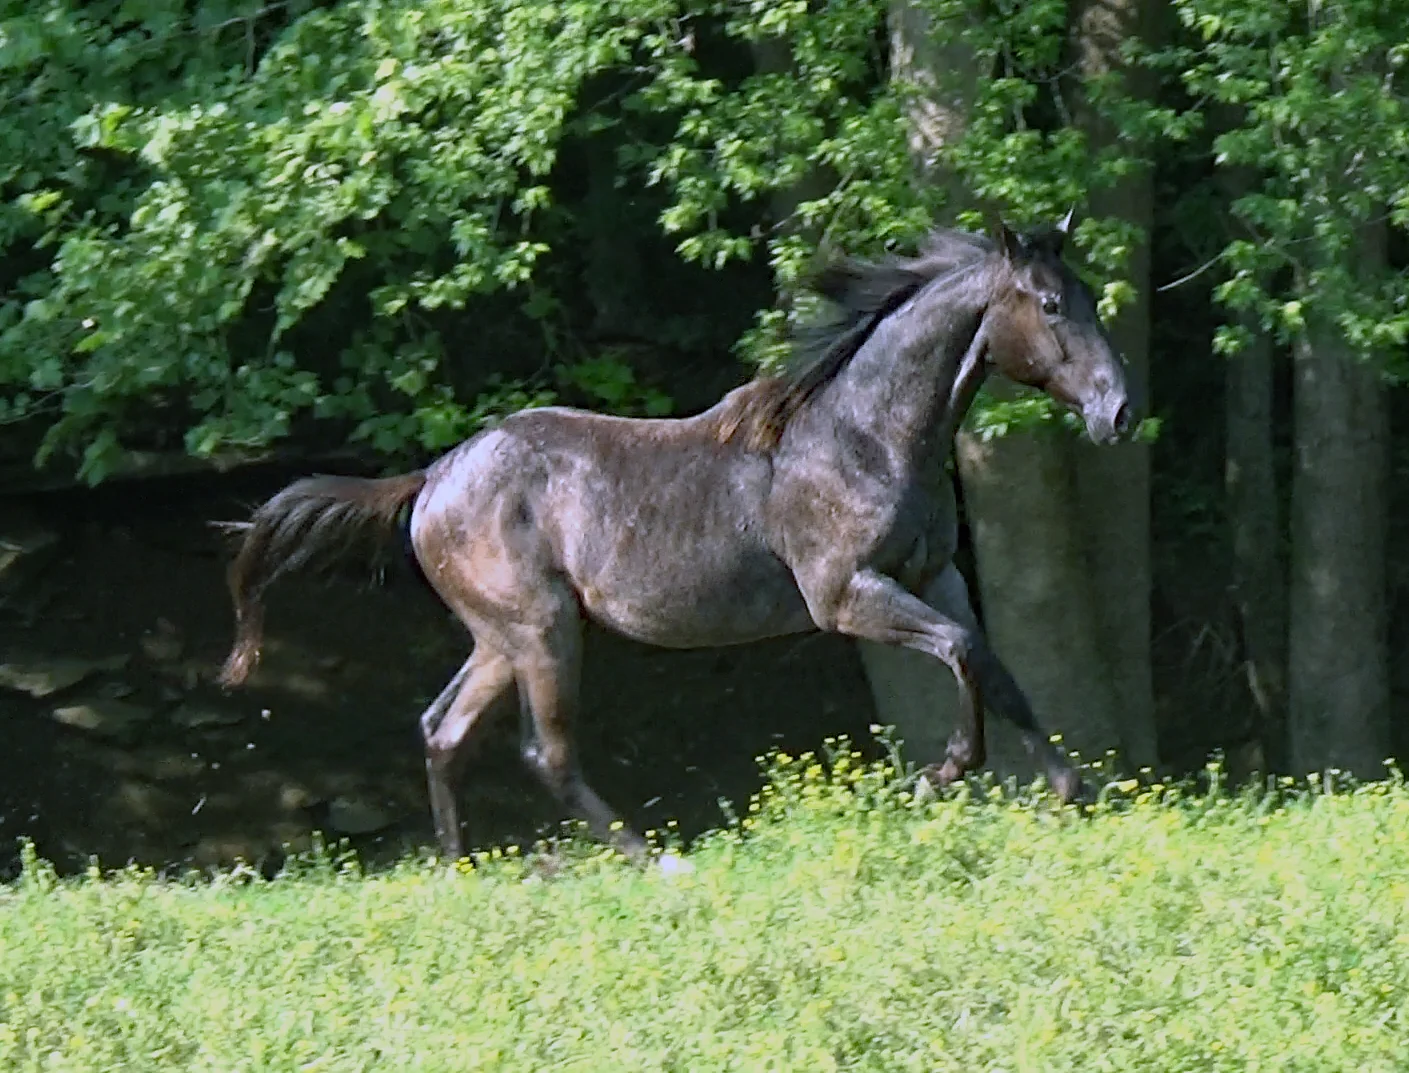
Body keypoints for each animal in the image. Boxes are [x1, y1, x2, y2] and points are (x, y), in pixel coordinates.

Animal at [216, 214, 1132, 865]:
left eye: (1089, 297)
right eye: (1051, 305)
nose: (1119, 412)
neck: (864, 437)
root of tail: (431, 480)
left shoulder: (936, 575)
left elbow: (992, 666)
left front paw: (1074, 789)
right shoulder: (844, 596)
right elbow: (958, 652)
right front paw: (944, 769)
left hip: (500, 638)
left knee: (444, 730)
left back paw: (459, 867)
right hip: (542, 631)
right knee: (544, 753)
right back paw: (655, 859)